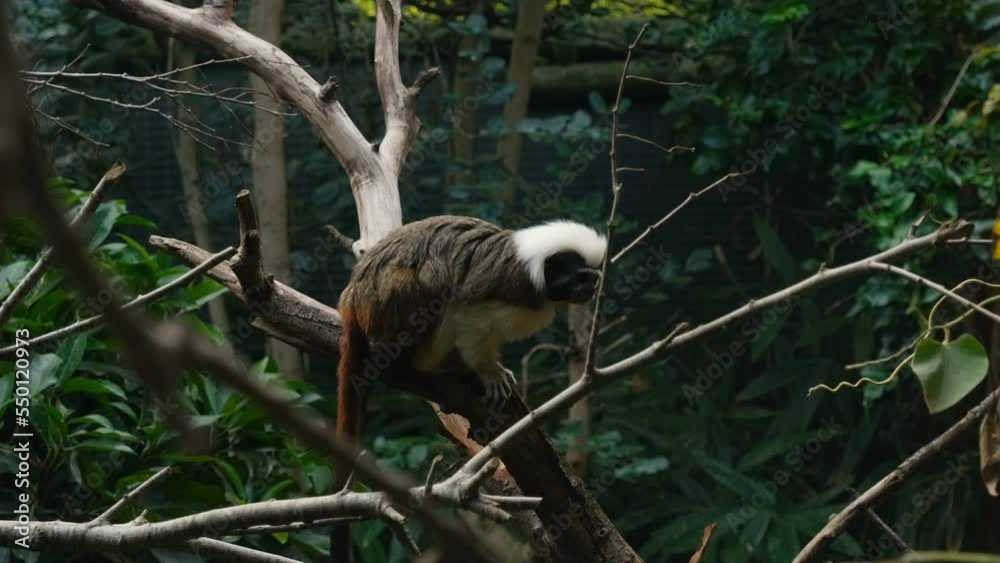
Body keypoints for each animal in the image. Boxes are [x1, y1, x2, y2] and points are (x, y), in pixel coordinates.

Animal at [331, 215, 605, 560]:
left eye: (593, 277)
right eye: (582, 277)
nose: (592, 287)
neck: (533, 271)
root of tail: (352, 295)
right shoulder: (507, 285)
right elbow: (467, 314)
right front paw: (488, 373)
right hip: (387, 302)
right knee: (427, 285)